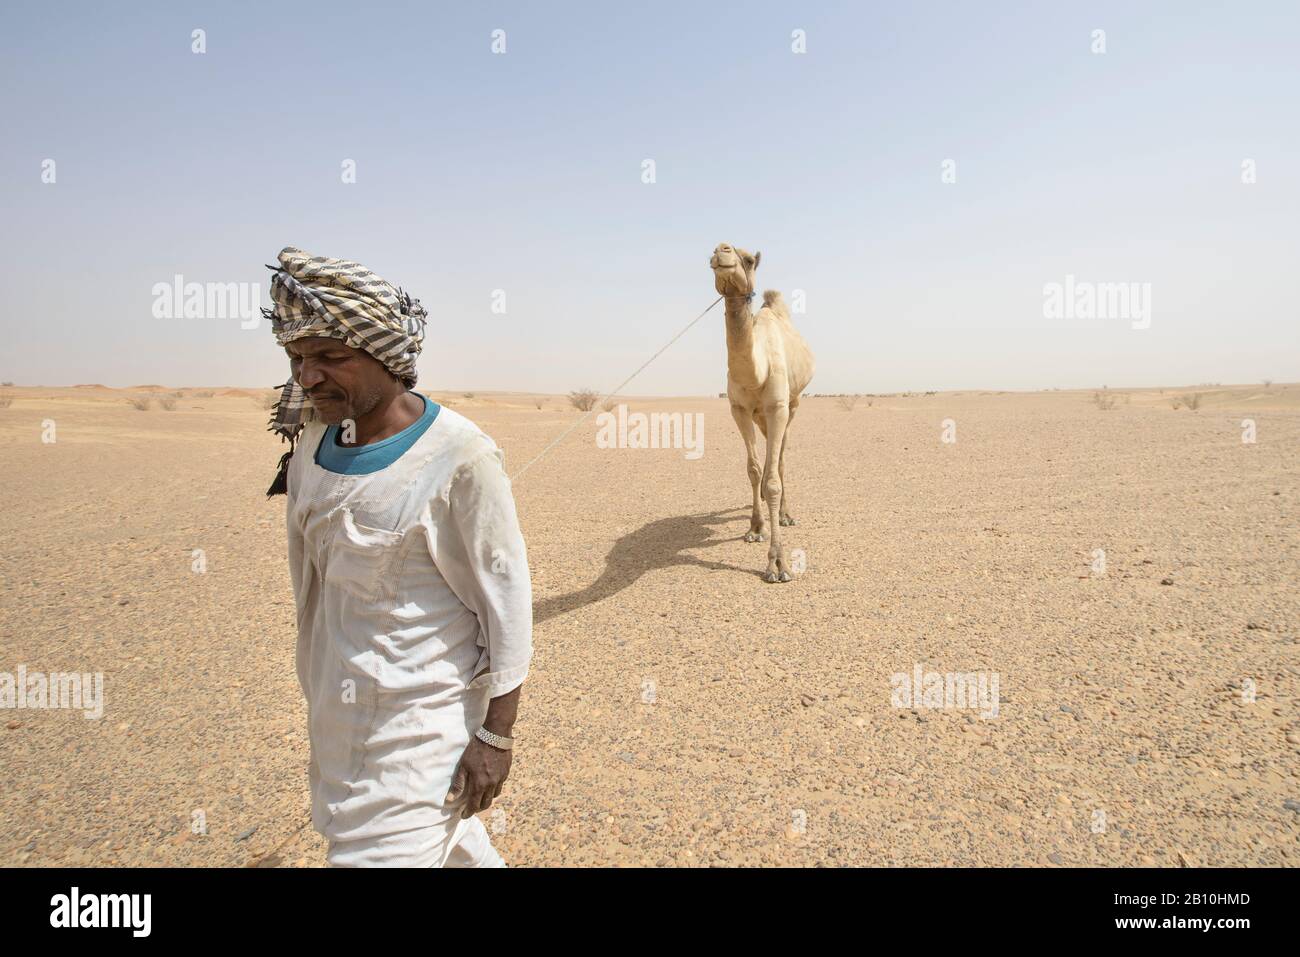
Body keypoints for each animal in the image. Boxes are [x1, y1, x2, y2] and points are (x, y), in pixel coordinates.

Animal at [709, 242, 815, 583]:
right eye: (710, 256)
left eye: (748, 259)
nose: (721, 250)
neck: (757, 369)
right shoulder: (739, 409)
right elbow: (754, 470)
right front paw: (756, 528)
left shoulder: (777, 407)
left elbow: (772, 477)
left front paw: (778, 564)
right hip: (759, 416)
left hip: (793, 405)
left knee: (780, 459)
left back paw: (784, 514)